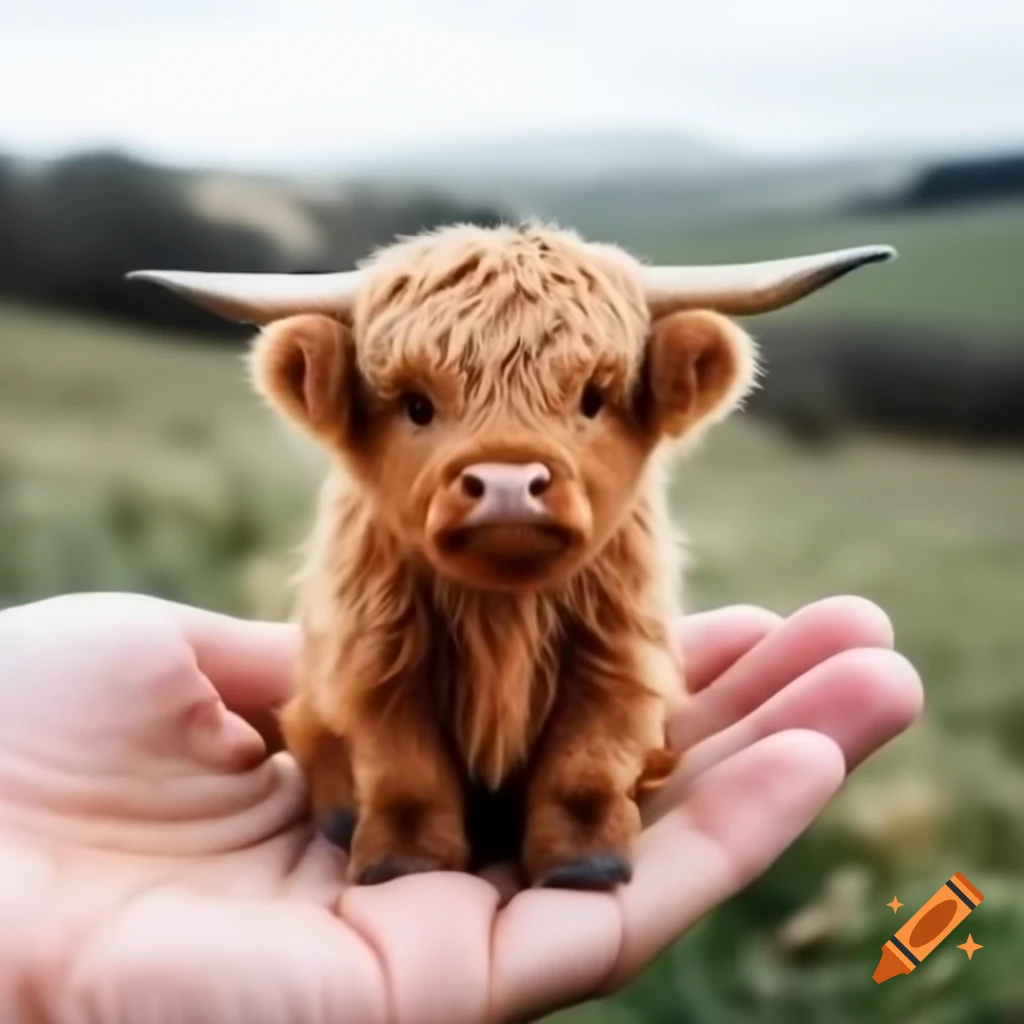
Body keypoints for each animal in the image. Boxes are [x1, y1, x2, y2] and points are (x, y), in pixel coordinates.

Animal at [130, 222, 894, 890]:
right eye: (416, 405)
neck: (503, 610)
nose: (506, 483)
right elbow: (407, 770)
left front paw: (585, 864)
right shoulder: (380, 662)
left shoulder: (613, 659)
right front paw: (404, 862)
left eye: (593, 398)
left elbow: (583, 766)